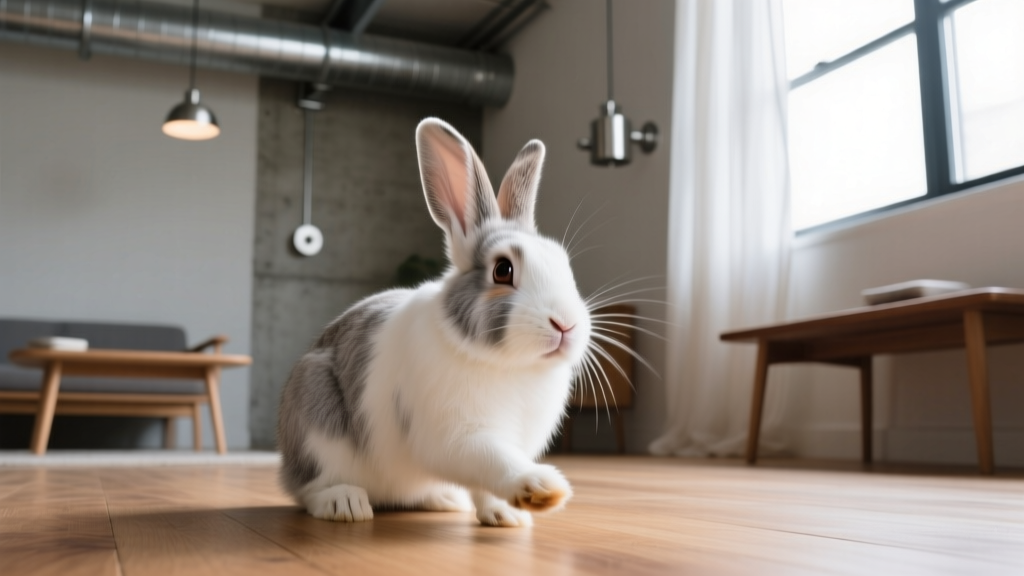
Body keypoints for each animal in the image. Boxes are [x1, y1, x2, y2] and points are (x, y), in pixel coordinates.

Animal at [277, 117, 593, 527]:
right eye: (503, 270)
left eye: (564, 264)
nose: (565, 324)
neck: (508, 364)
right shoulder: (457, 437)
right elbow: (492, 460)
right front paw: (541, 488)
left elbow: (485, 482)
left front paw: (507, 516)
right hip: (316, 418)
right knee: (310, 489)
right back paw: (345, 503)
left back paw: (444, 499)